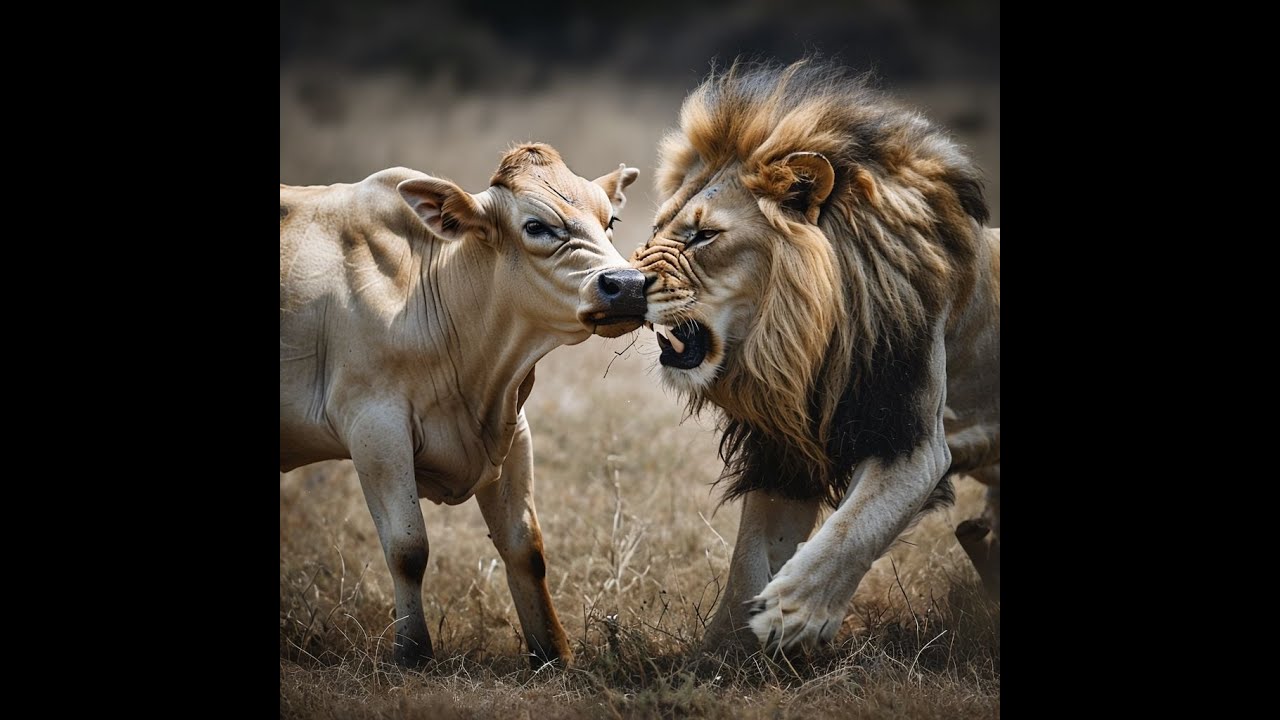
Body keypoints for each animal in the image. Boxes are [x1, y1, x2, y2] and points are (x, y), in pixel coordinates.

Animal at [280, 143, 644, 668]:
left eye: (610, 220)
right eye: (536, 226)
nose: (629, 285)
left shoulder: (512, 430)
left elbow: (525, 547)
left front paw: (553, 651)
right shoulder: (374, 428)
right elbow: (408, 548)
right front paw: (413, 652)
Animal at [630, 58, 1000, 653]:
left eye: (703, 235)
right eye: (660, 226)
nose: (623, 284)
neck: (806, 343)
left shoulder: (913, 442)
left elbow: (854, 528)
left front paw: (790, 614)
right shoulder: (786, 449)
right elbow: (749, 557)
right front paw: (722, 651)